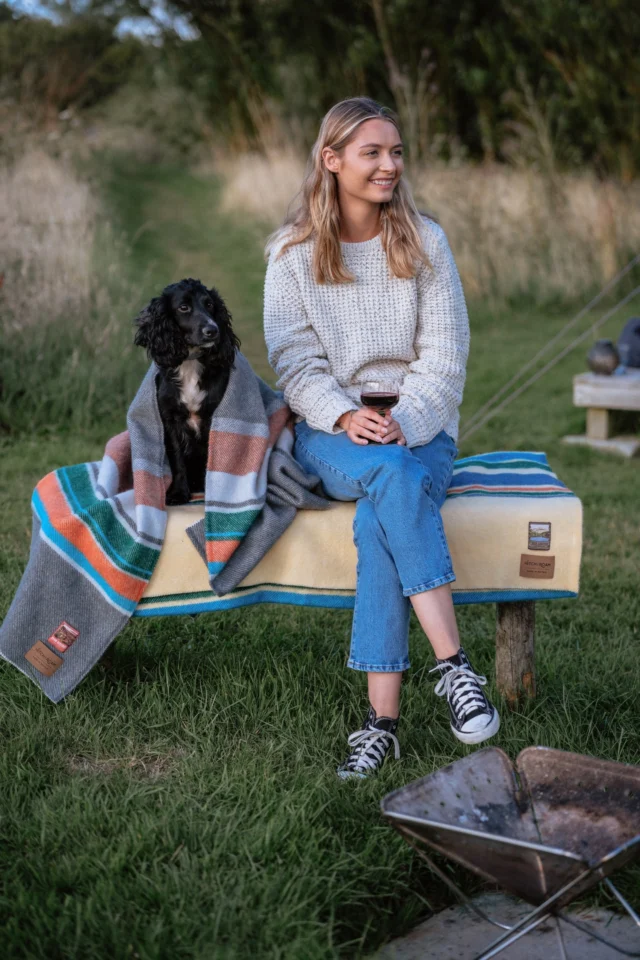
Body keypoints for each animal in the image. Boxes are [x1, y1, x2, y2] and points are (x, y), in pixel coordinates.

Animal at [133, 278, 241, 505]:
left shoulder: (212, 417)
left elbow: (212, 457)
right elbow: (176, 458)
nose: (213, 330)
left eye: (209, 304)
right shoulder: (170, 419)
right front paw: (178, 493)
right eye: (183, 307)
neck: (190, 363)